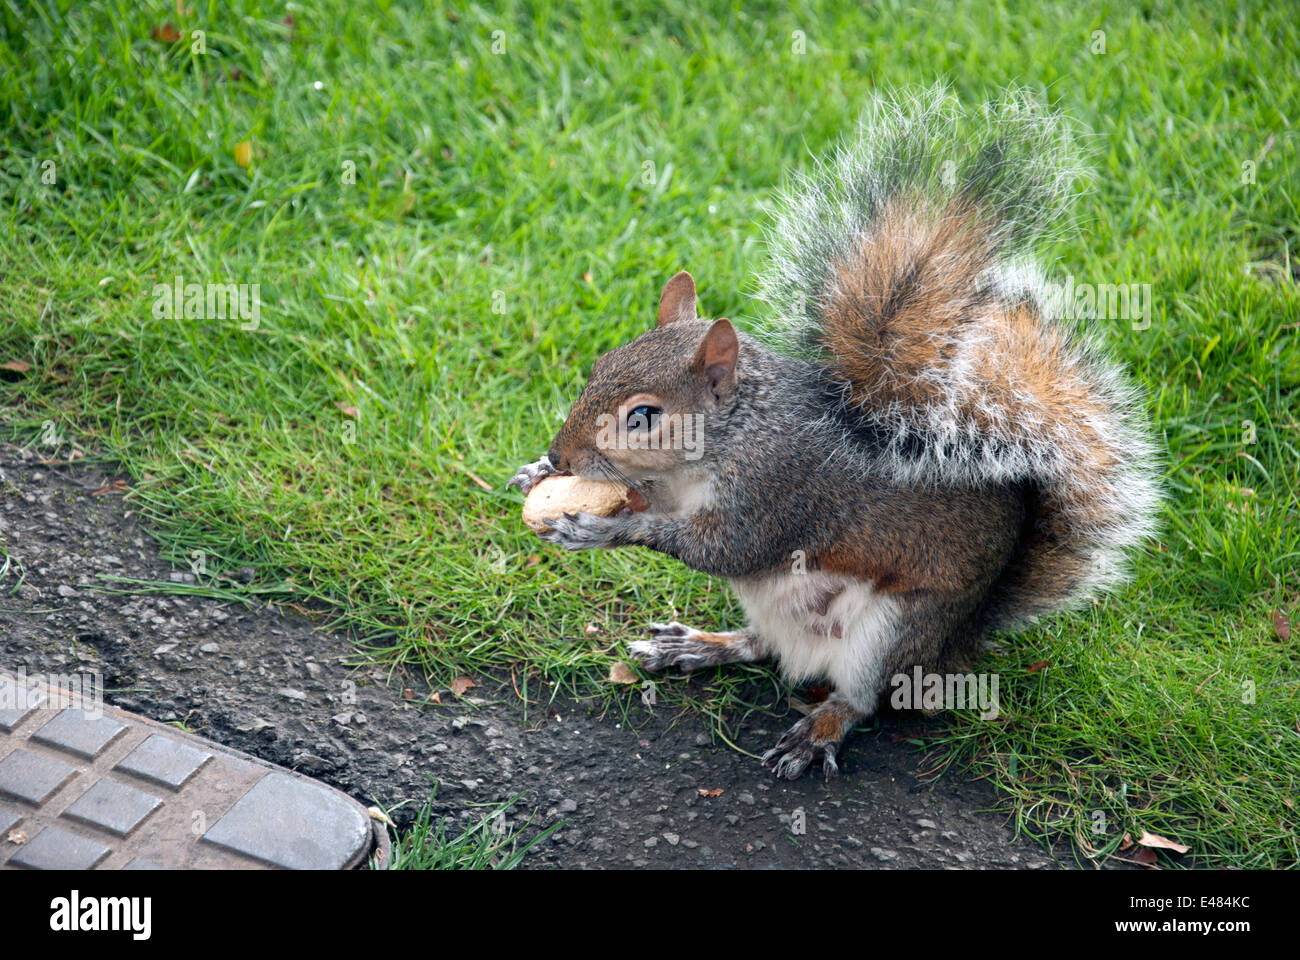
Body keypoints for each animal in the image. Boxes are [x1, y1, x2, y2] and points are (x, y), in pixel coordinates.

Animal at [508, 86, 1161, 780]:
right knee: (767, 647)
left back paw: (818, 728)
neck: (727, 439)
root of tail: (956, 645)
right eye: (599, 365)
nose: (559, 454)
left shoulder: (778, 489)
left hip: (893, 631)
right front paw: (537, 476)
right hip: (779, 612)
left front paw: (604, 527)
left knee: (859, 696)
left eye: (643, 416)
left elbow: (724, 548)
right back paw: (700, 645)